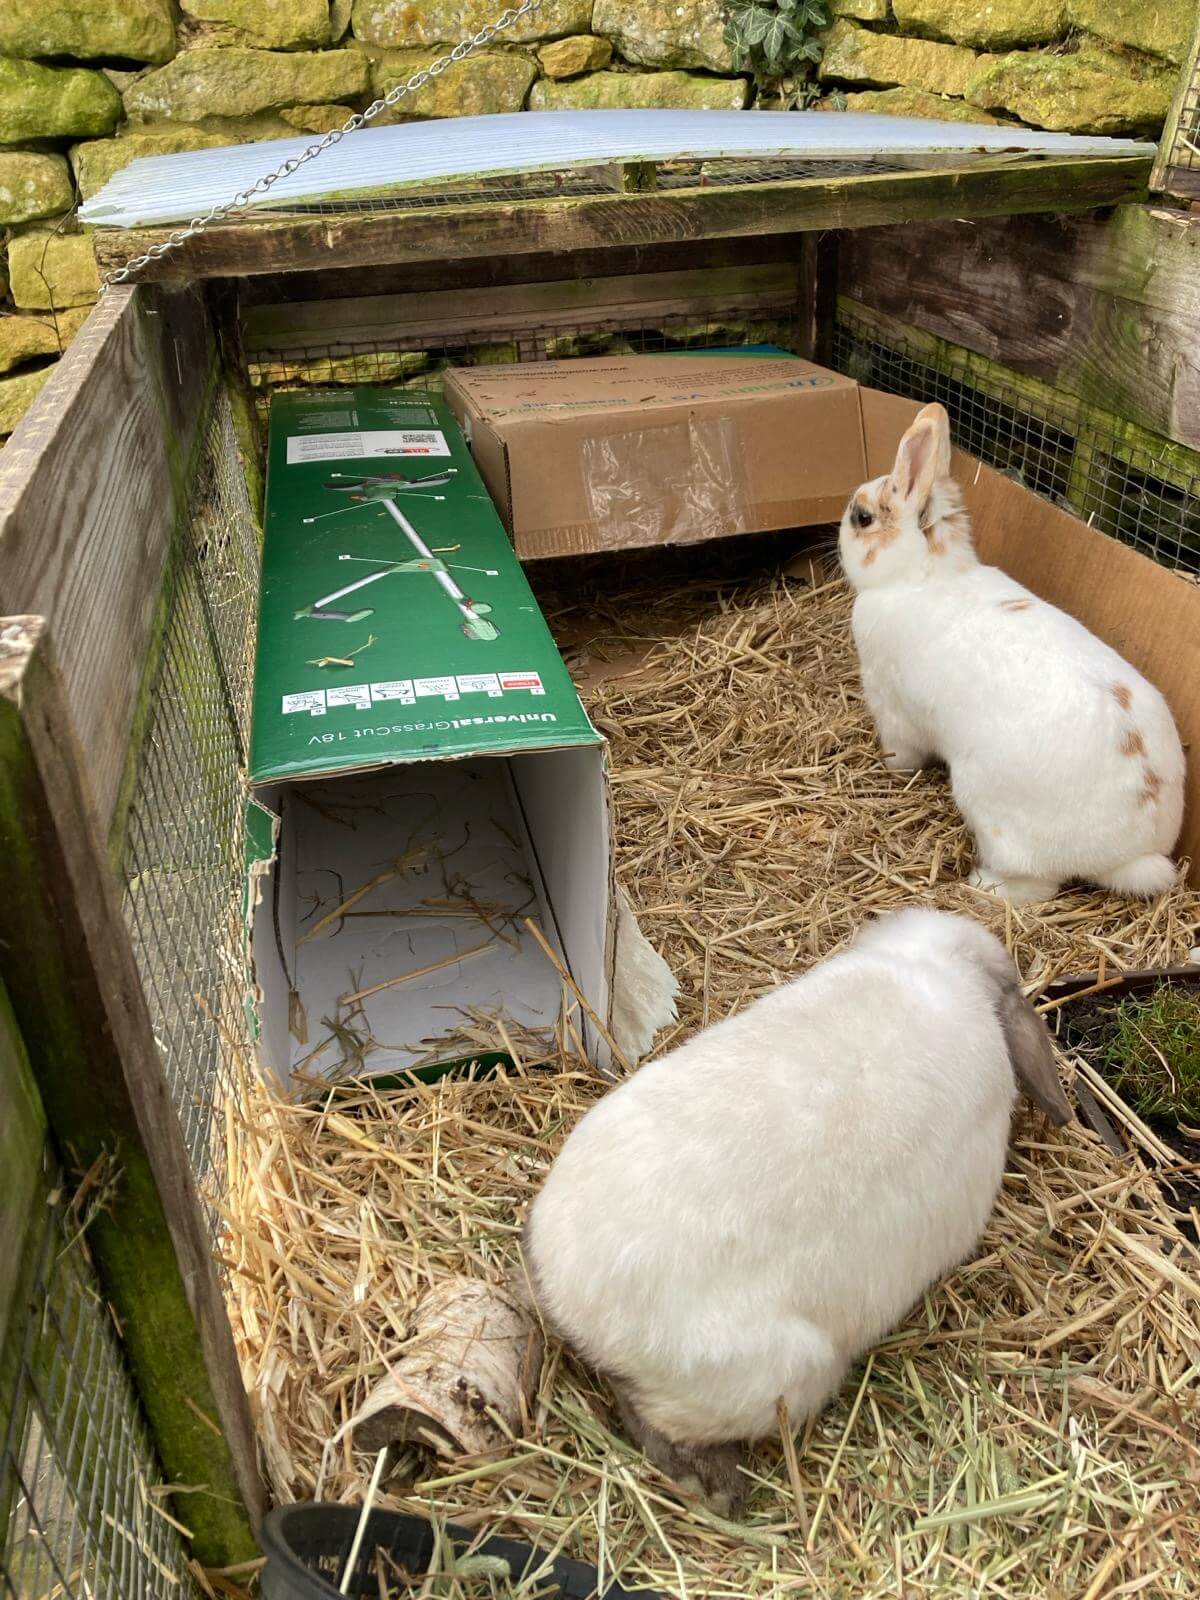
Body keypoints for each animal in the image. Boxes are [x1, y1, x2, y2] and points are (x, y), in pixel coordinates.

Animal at [838, 402, 1185, 906]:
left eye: (862, 517)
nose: (837, 532)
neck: (924, 576)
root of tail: (1132, 852)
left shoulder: (893, 709)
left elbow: (903, 751)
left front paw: (888, 767)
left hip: (991, 813)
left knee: (1036, 887)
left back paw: (982, 884)